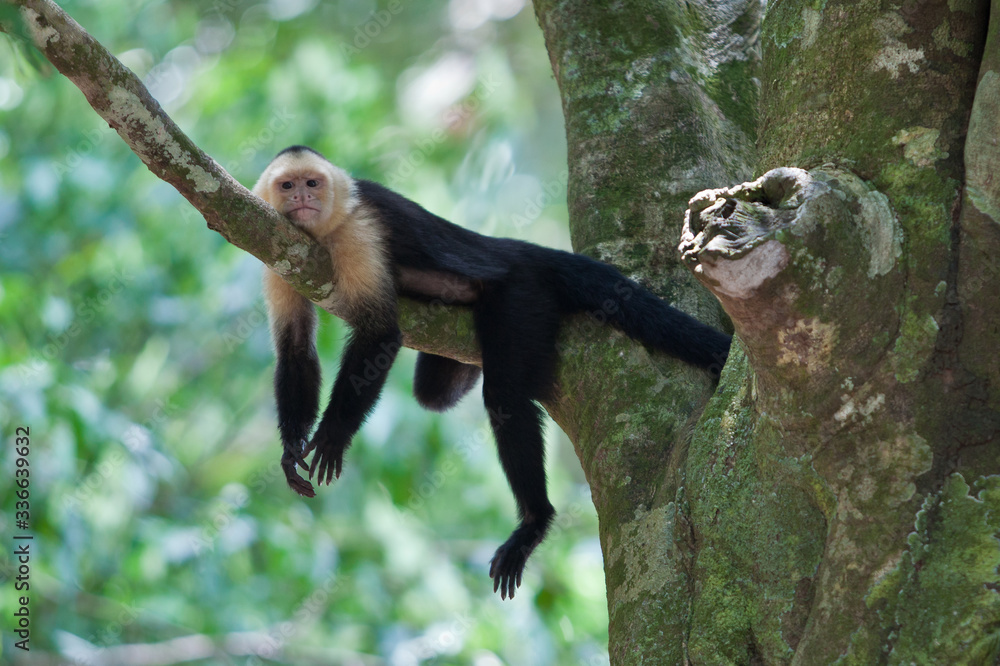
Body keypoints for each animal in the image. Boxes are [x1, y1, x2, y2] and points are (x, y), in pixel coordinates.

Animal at [255, 145, 731, 599]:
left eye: (313, 183)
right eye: (287, 185)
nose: (301, 198)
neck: (322, 232)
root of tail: (517, 249)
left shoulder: (358, 230)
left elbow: (380, 335)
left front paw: (333, 433)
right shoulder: (276, 247)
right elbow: (295, 349)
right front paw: (290, 447)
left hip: (523, 293)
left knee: (504, 397)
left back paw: (535, 520)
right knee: (433, 393)